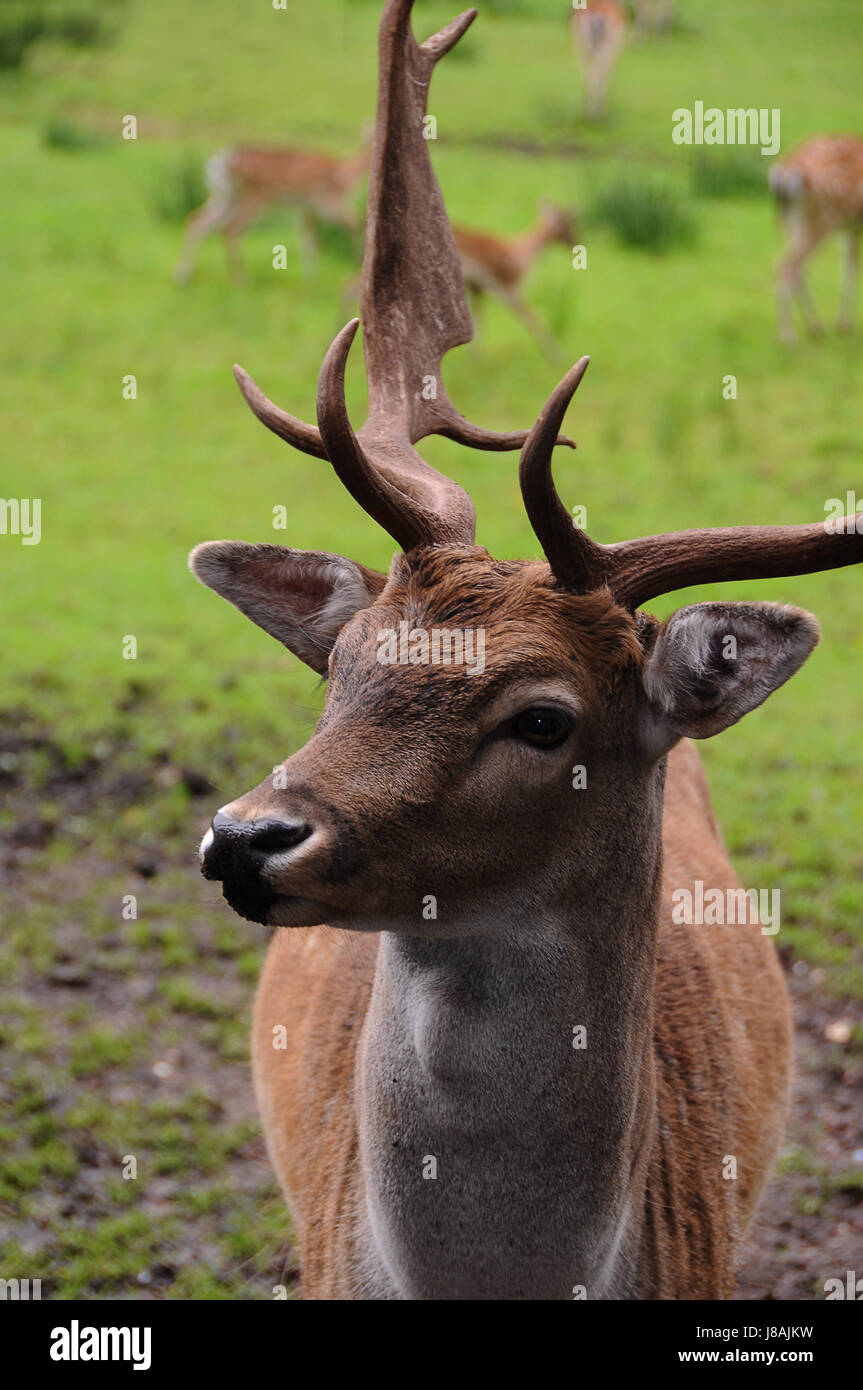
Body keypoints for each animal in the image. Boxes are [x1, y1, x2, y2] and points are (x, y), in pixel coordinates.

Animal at [173, 140, 369, 285]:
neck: (346, 177)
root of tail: (220, 162)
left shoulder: (305, 209)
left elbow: (309, 241)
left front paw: (311, 279)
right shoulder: (326, 202)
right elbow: (355, 222)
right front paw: (355, 261)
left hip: (224, 196)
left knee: (197, 221)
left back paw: (183, 276)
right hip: (254, 197)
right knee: (230, 229)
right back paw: (241, 281)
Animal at [452, 201, 578, 360]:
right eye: (569, 224)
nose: (575, 241)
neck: (522, 256)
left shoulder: (478, 289)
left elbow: (478, 319)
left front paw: (475, 357)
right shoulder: (508, 289)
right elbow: (533, 319)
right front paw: (558, 356)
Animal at [769, 135, 863, 345]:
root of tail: (784, 171)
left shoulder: (851, 228)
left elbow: (849, 268)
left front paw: (844, 323)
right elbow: (852, 268)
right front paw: (845, 323)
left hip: (792, 222)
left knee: (797, 269)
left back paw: (815, 328)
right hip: (821, 219)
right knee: (786, 266)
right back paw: (788, 336)